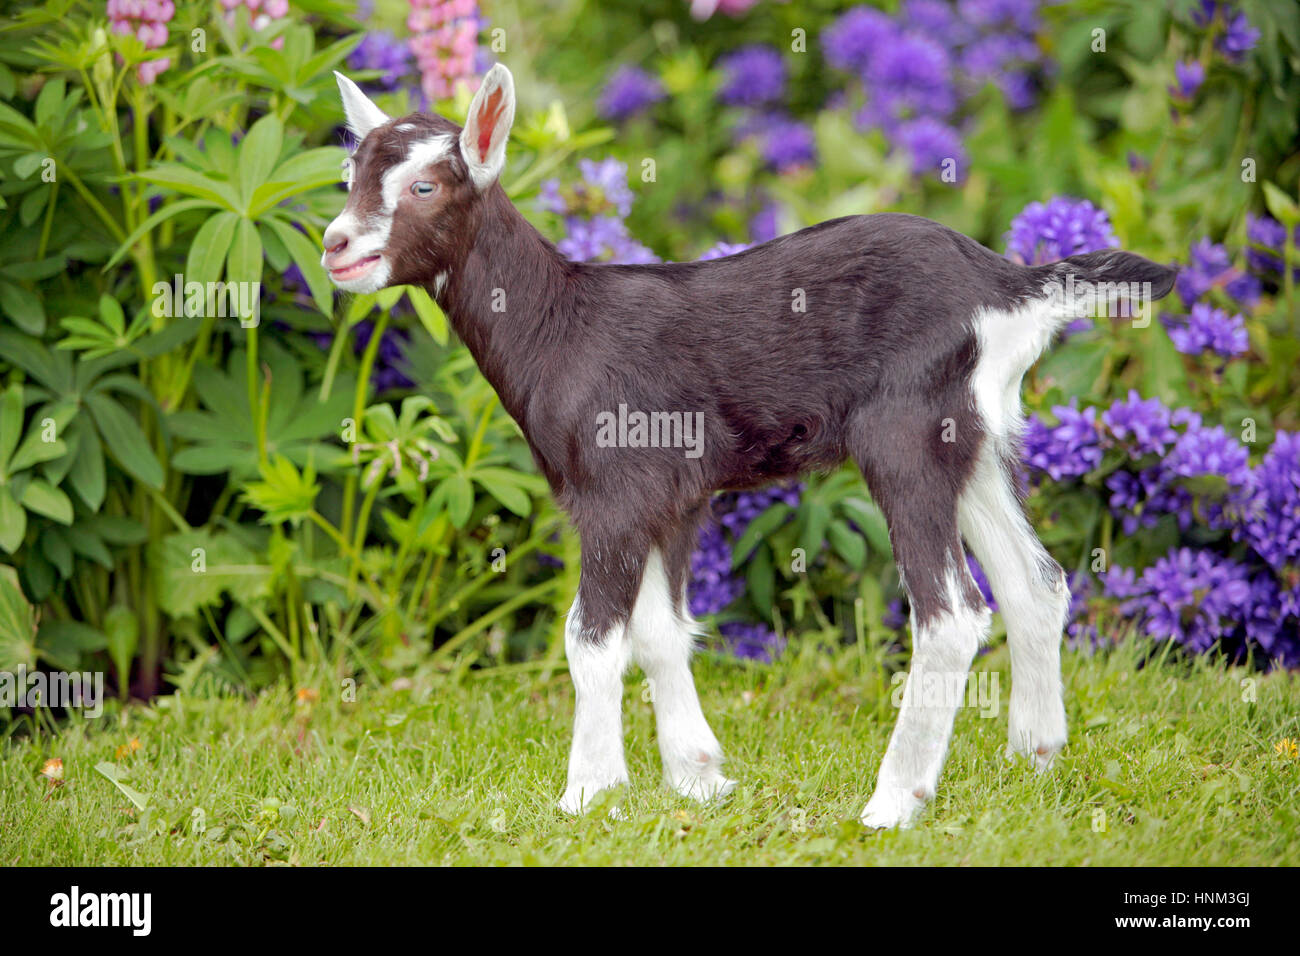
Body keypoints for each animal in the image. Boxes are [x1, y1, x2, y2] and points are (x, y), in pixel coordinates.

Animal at [322, 65, 1176, 828]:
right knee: (1037, 582)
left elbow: (592, 639)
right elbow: (661, 632)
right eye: (349, 176)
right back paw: (1035, 760)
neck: (561, 326)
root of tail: (1006, 286)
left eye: (426, 187)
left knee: (953, 614)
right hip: (978, 441)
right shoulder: (673, 499)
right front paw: (700, 778)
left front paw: (588, 793)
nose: (336, 245)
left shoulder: (612, 495)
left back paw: (893, 803)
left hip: (905, 433)